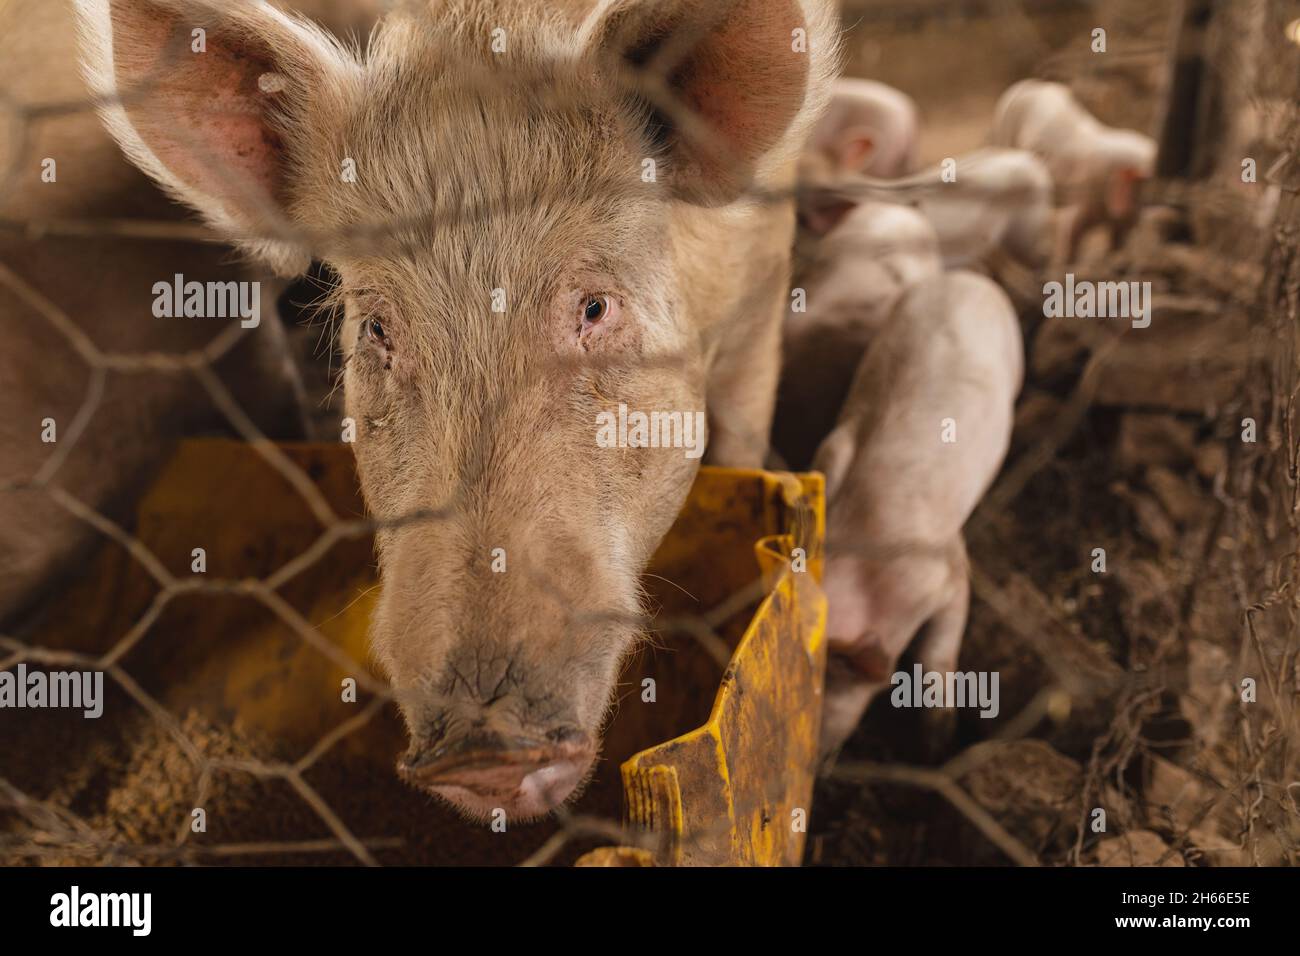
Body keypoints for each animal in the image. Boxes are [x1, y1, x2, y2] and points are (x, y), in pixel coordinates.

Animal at [811, 270, 1023, 758]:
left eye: (826, 691)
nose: (815, 764)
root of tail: (969, 278)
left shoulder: (946, 573)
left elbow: (941, 645)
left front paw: (937, 741)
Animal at [991, 79, 1157, 262]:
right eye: (1147, 186)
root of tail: (1027, 84)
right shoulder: (1079, 195)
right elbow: (1070, 232)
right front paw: (1065, 262)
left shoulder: (1118, 223)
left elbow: (1117, 242)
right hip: (1003, 133)